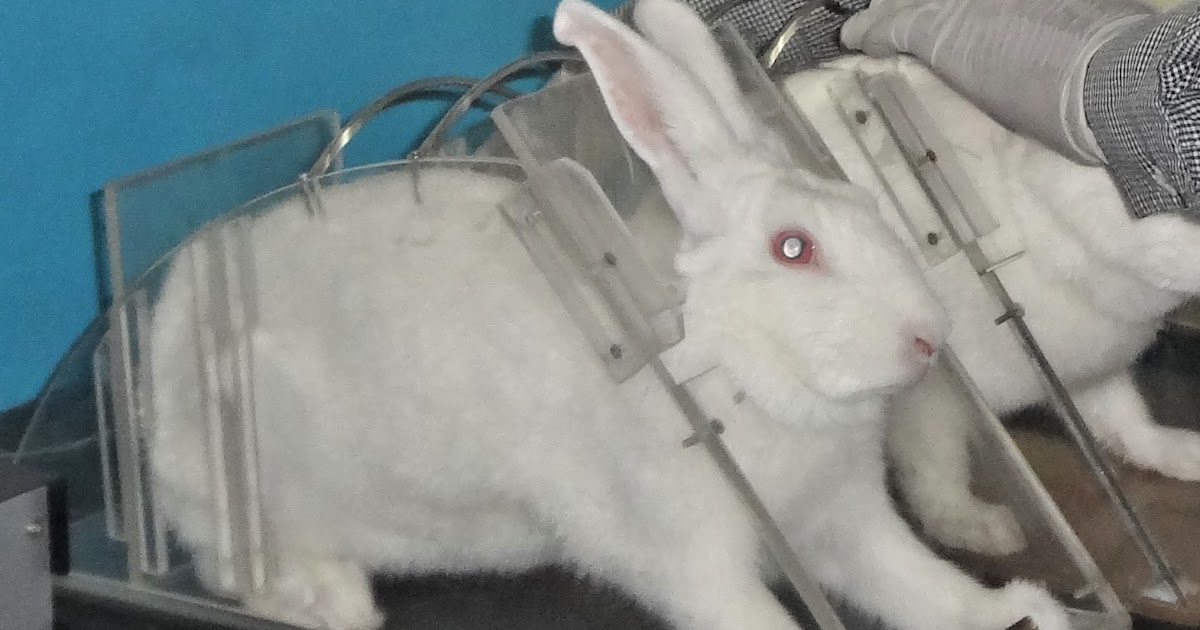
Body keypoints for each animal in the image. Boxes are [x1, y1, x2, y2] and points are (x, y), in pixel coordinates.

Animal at [145, 1, 1074, 629]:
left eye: (864, 205)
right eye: (793, 248)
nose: (928, 338)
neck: (725, 355)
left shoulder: (841, 515)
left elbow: (912, 580)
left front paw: (1013, 612)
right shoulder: (686, 550)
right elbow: (748, 611)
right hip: (249, 503)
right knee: (236, 572)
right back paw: (337, 602)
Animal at [781, 54, 1200, 558]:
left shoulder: (1090, 371)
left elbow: (1127, 424)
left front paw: (1187, 455)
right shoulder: (929, 396)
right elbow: (935, 473)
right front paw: (989, 530)